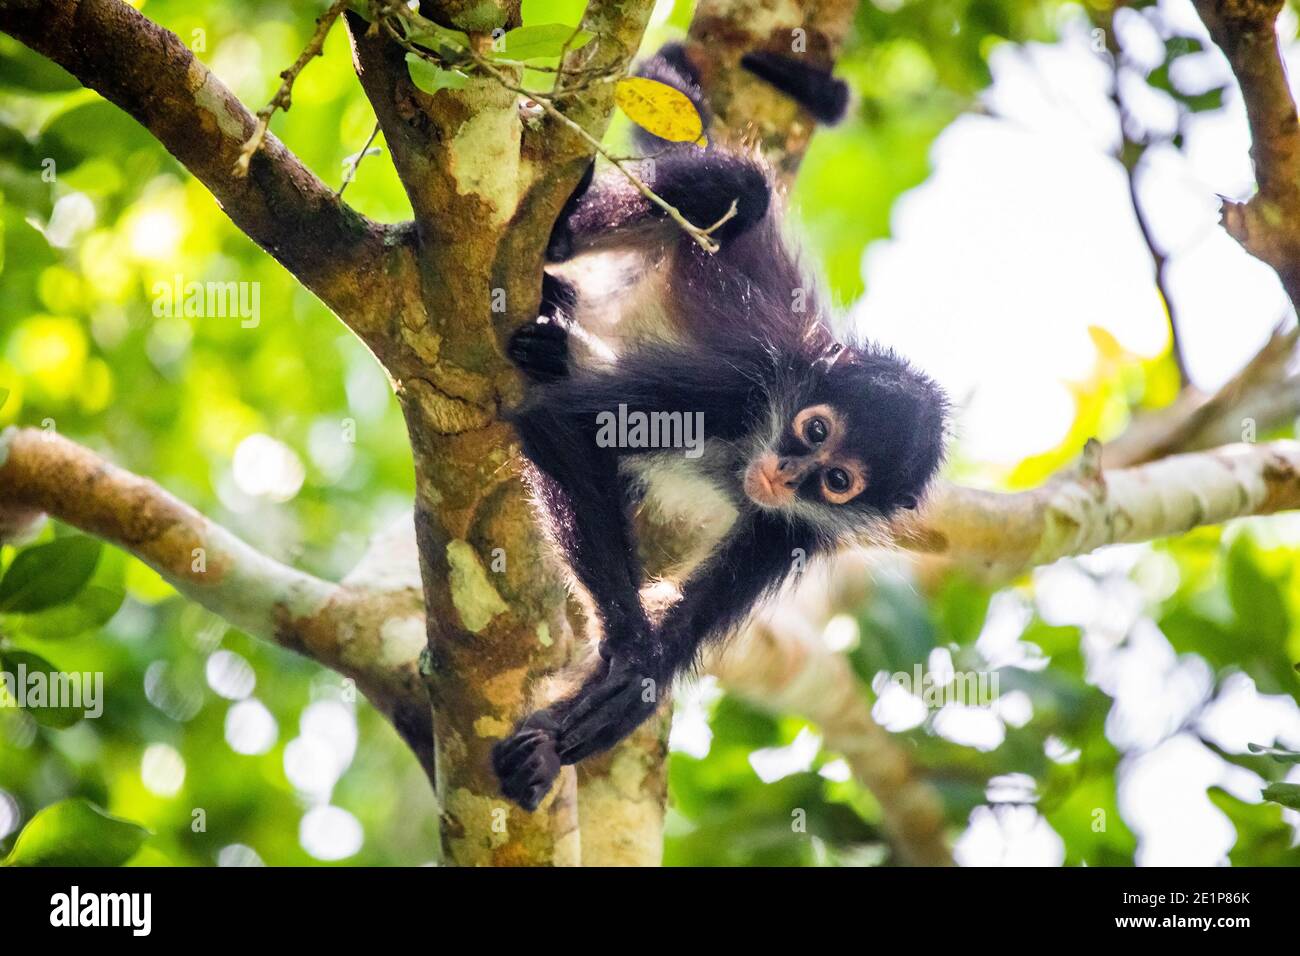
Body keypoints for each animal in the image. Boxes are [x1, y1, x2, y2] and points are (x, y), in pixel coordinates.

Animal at [492, 44, 949, 811]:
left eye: (835, 480)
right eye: (815, 432)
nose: (786, 474)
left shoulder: (791, 533)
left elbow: (677, 645)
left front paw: (578, 726)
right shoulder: (739, 384)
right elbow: (561, 424)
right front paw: (629, 650)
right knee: (744, 186)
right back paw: (559, 245)